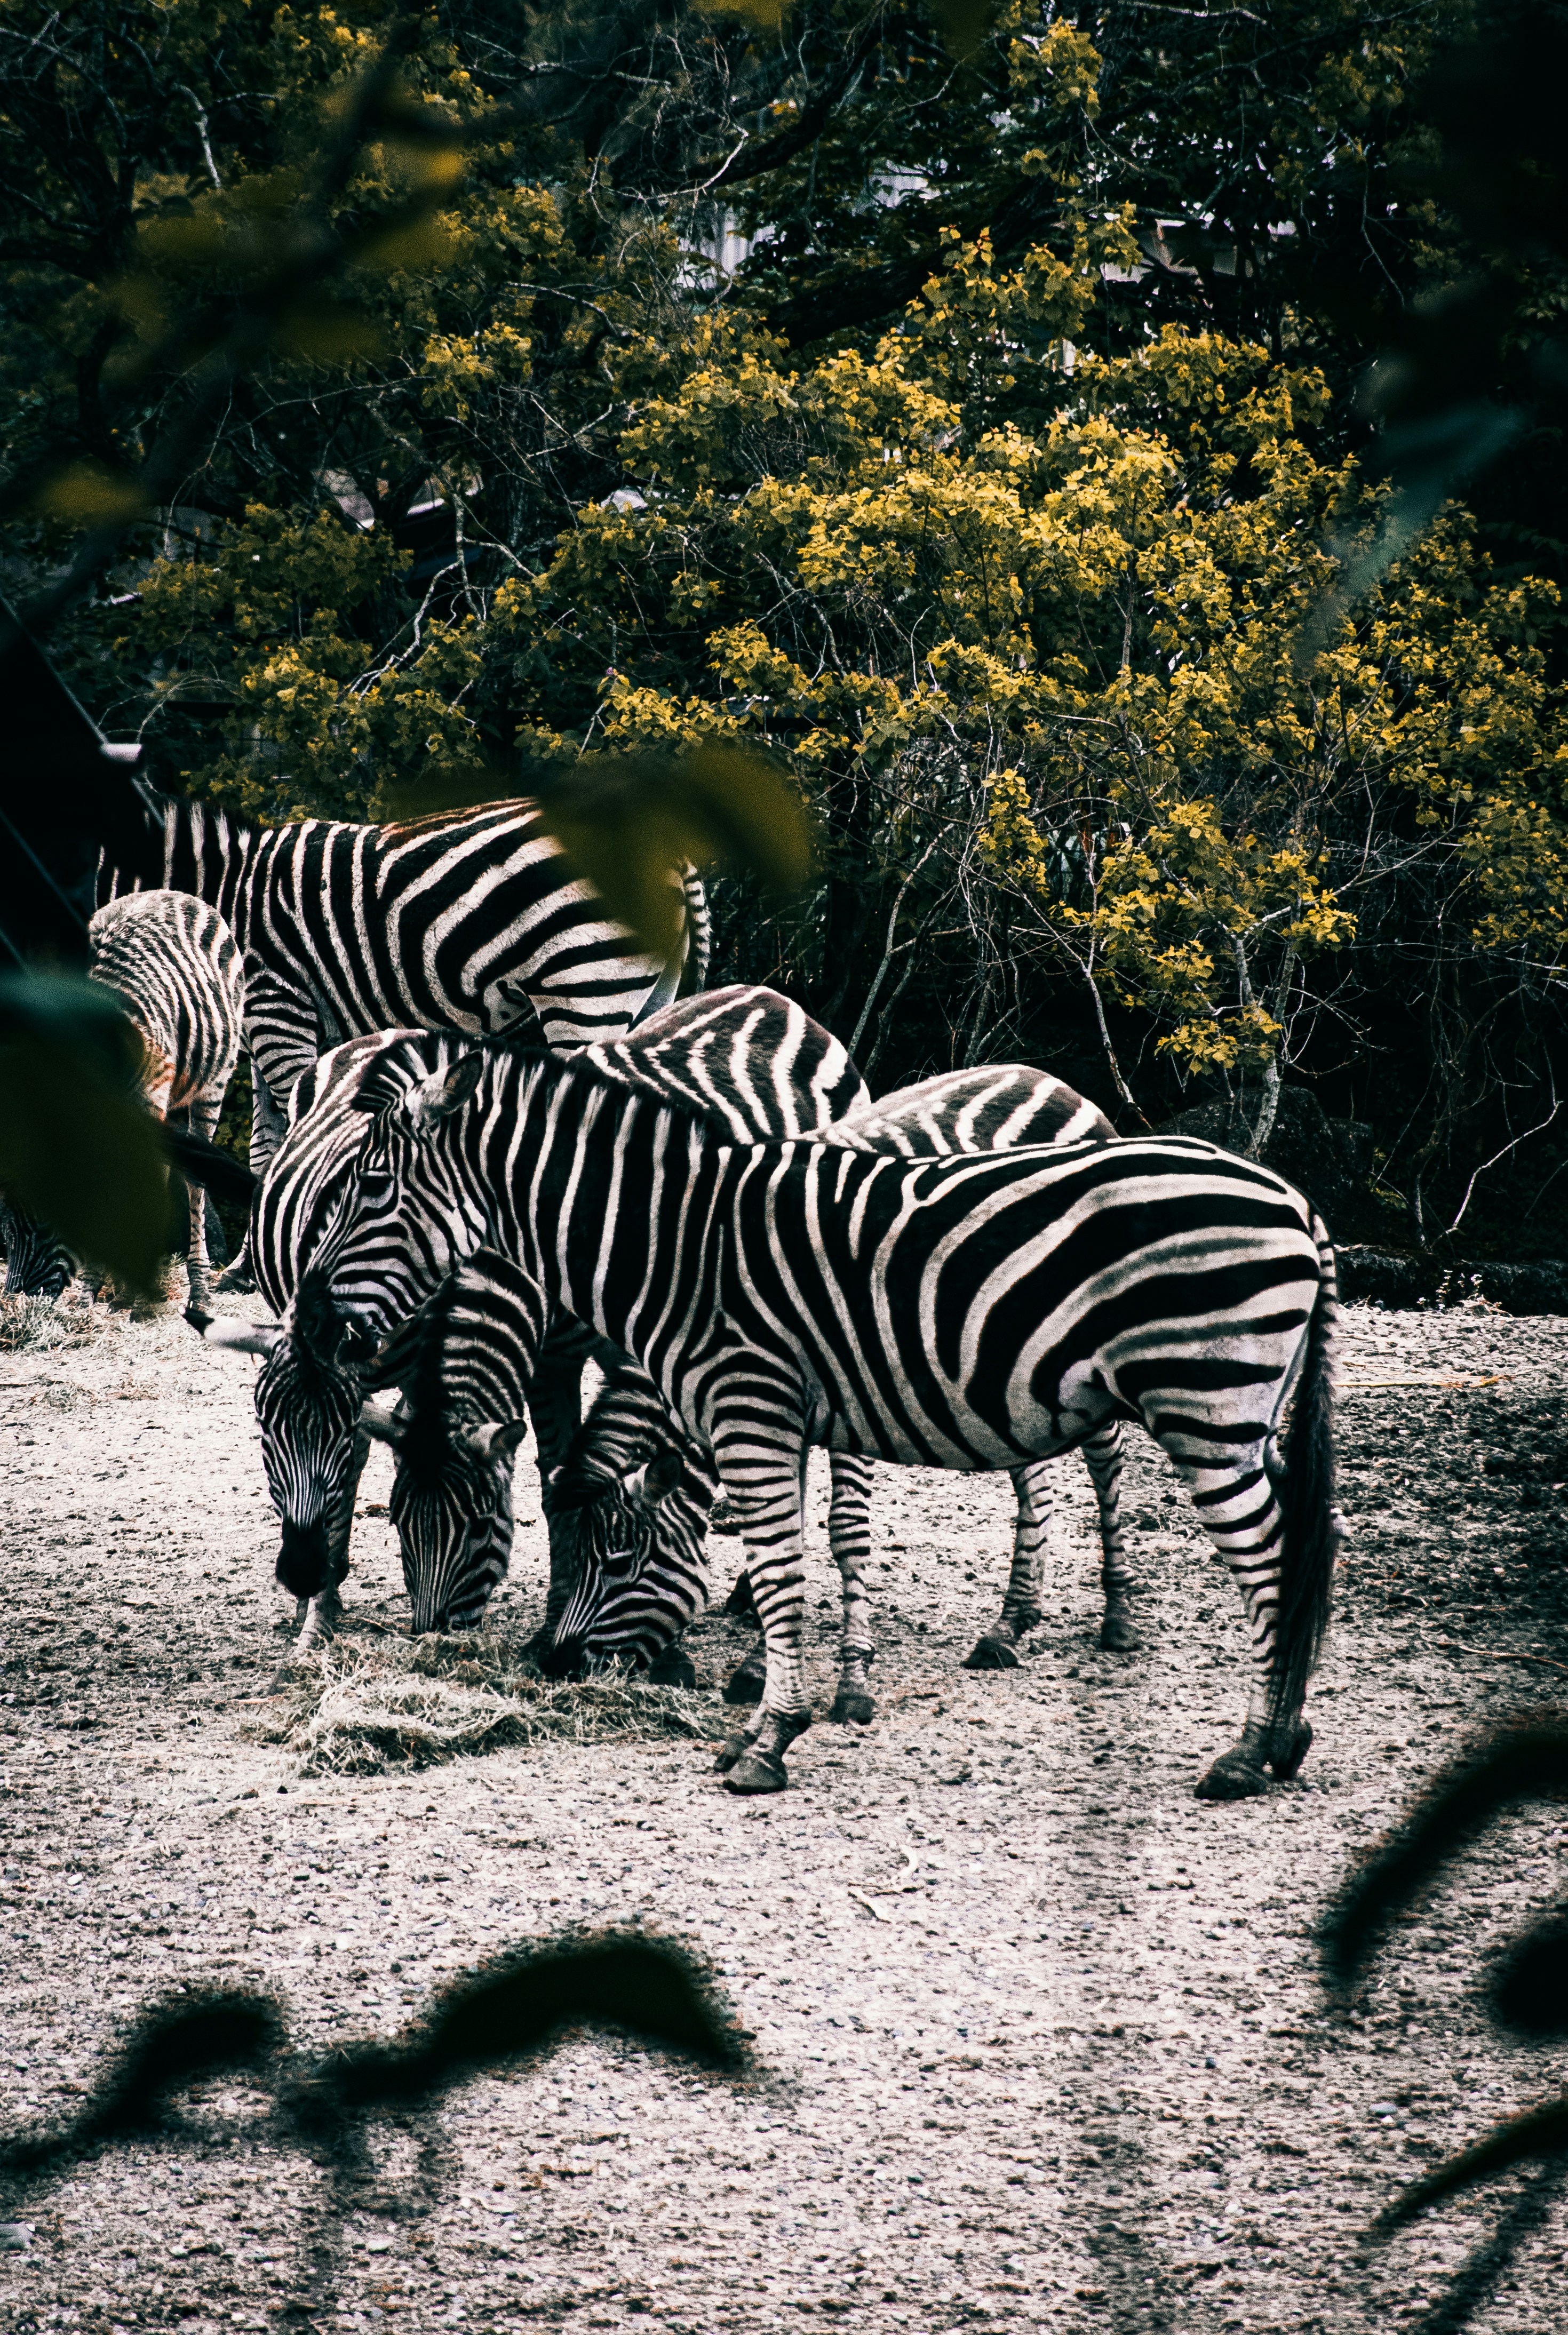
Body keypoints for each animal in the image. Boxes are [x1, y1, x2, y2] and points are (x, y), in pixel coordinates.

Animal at [304, 1035, 1340, 1802]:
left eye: (369, 1190)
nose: (315, 1317)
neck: (671, 1246)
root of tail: (1293, 1198)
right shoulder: (777, 1417)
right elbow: (784, 1565)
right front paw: (768, 1705)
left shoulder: (749, 1406)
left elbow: (779, 1569)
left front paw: (772, 1737)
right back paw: (1268, 1727)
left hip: (1201, 1398)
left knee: (1257, 1550)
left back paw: (1243, 1747)